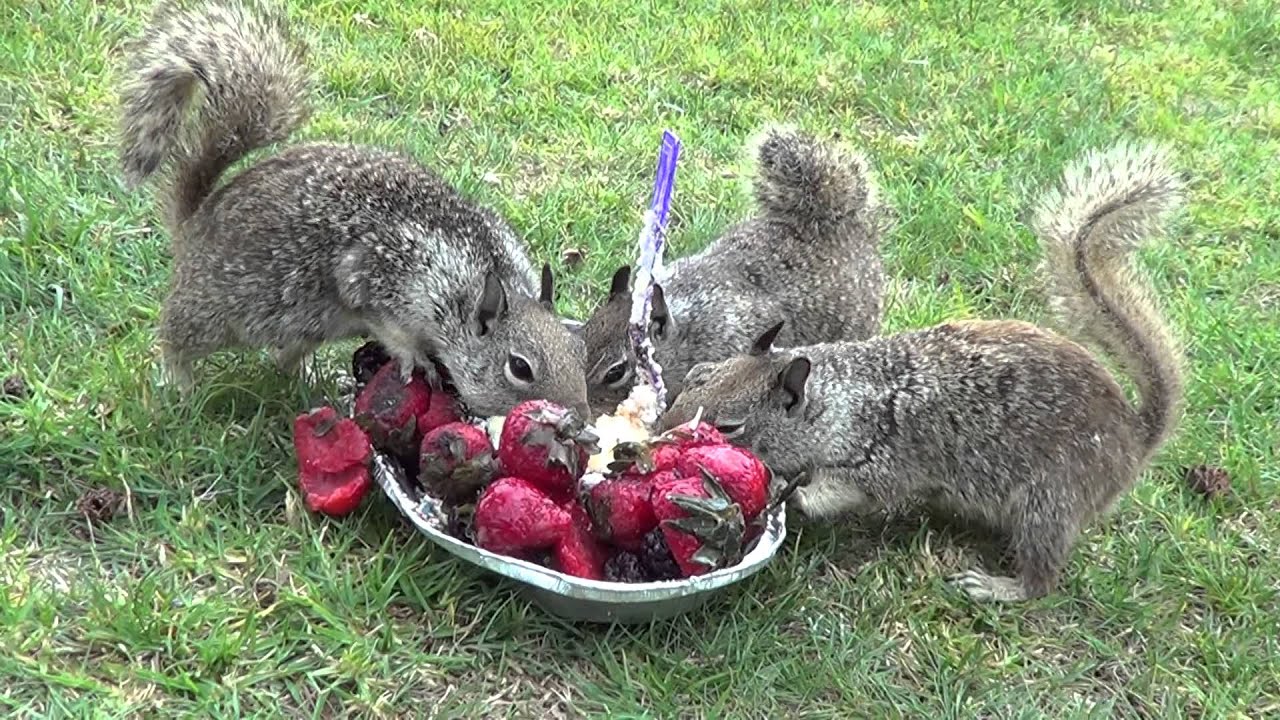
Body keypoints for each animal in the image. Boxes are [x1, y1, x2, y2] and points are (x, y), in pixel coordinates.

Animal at [117, 0, 589, 418]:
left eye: (578, 349)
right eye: (519, 368)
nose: (580, 416)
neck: (475, 274)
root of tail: (194, 220)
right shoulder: (378, 276)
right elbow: (387, 326)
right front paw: (415, 358)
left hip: (298, 327)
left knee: (282, 358)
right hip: (212, 310)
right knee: (174, 338)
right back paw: (180, 385)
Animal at [659, 140, 1186, 603]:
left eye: (729, 427)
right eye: (697, 374)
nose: (660, 435)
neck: (842, 402)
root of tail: (1135, 436)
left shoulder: (880, 463)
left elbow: (838, 493)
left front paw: (786, 495)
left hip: (1050, 502)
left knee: (1043, 578)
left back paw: (998, 587)